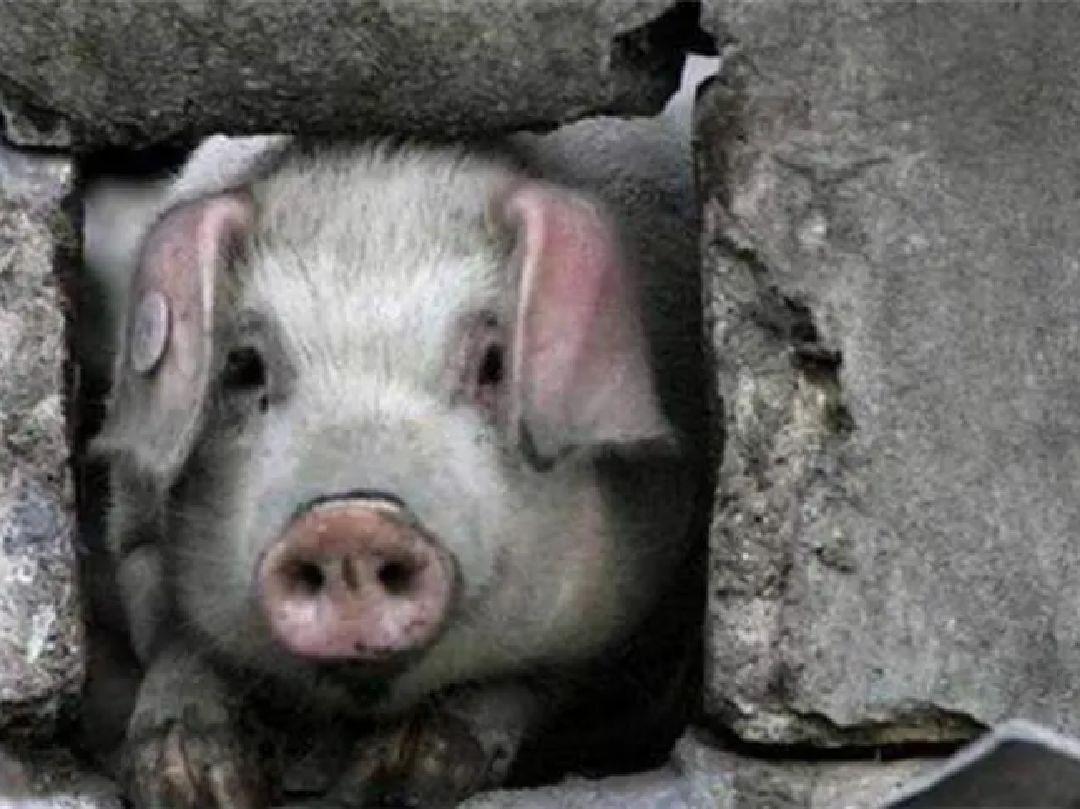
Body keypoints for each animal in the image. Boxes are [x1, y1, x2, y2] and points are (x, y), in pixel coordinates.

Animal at [84, 106, 705, 808]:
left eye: (494, 364)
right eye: (243, 367)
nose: (346, 524)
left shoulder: (642, 587)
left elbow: (526, 683)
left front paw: (398, 779)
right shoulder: (135, 531)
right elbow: (177, 646)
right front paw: (192, 784)